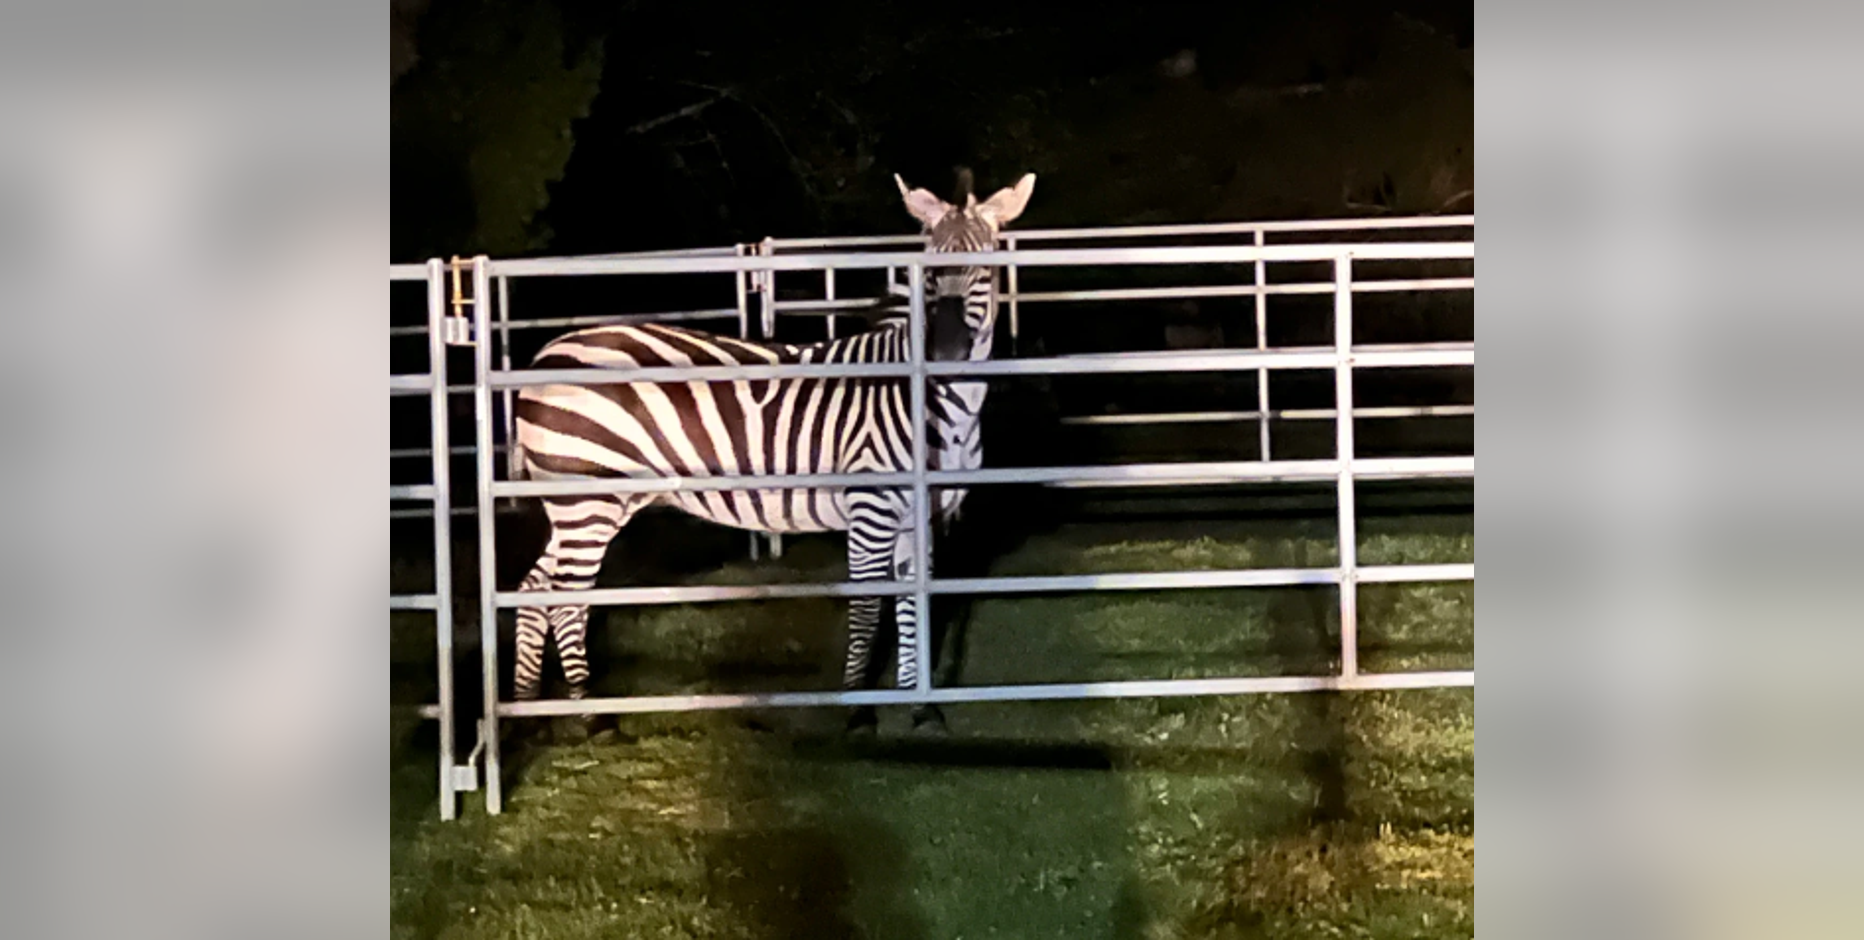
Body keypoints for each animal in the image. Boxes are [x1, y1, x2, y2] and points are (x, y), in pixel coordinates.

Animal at [506, 171, 1037, 731]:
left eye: (986, 271)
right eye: (929, 274)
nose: (947, 349)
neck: (935, 402)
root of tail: (546, 353)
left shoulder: (921, 517)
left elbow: (916, 606)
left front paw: (919, 707)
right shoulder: (870, 510)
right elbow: (868, 607)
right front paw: (858, 708)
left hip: (582, 503)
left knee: (533, 588)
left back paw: (526, 706)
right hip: (588, 498)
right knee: (566, 598)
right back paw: (591, 715)